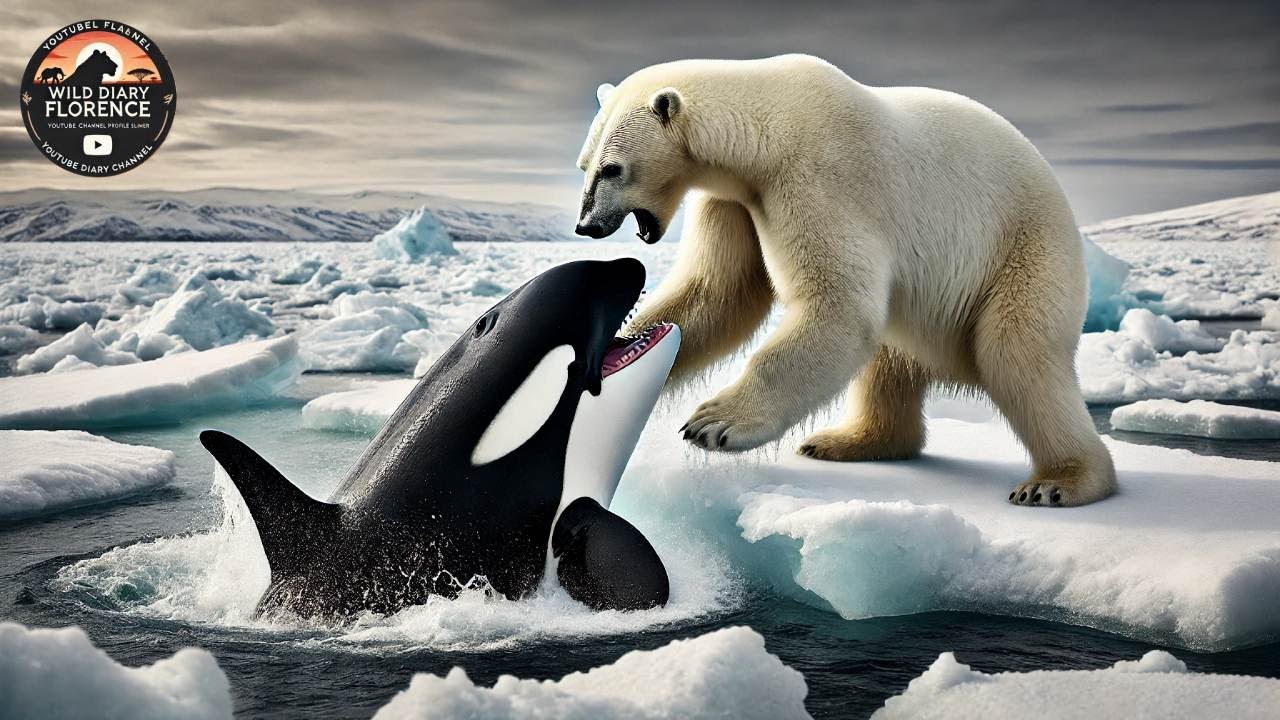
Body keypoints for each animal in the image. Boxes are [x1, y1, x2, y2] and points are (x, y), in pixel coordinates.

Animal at [574, 54, 1116, 507]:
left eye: (613, 169)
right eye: (585, 165)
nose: (586, 226)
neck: (768, 126)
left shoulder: (818, 179)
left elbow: (838, 305)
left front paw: (713, 423)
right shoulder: (735, 198)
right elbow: (719, 293)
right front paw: (613, 354)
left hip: (1024, 250)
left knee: (1018, 355)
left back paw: (1058, 482)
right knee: (891, 363)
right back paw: (847, 440)